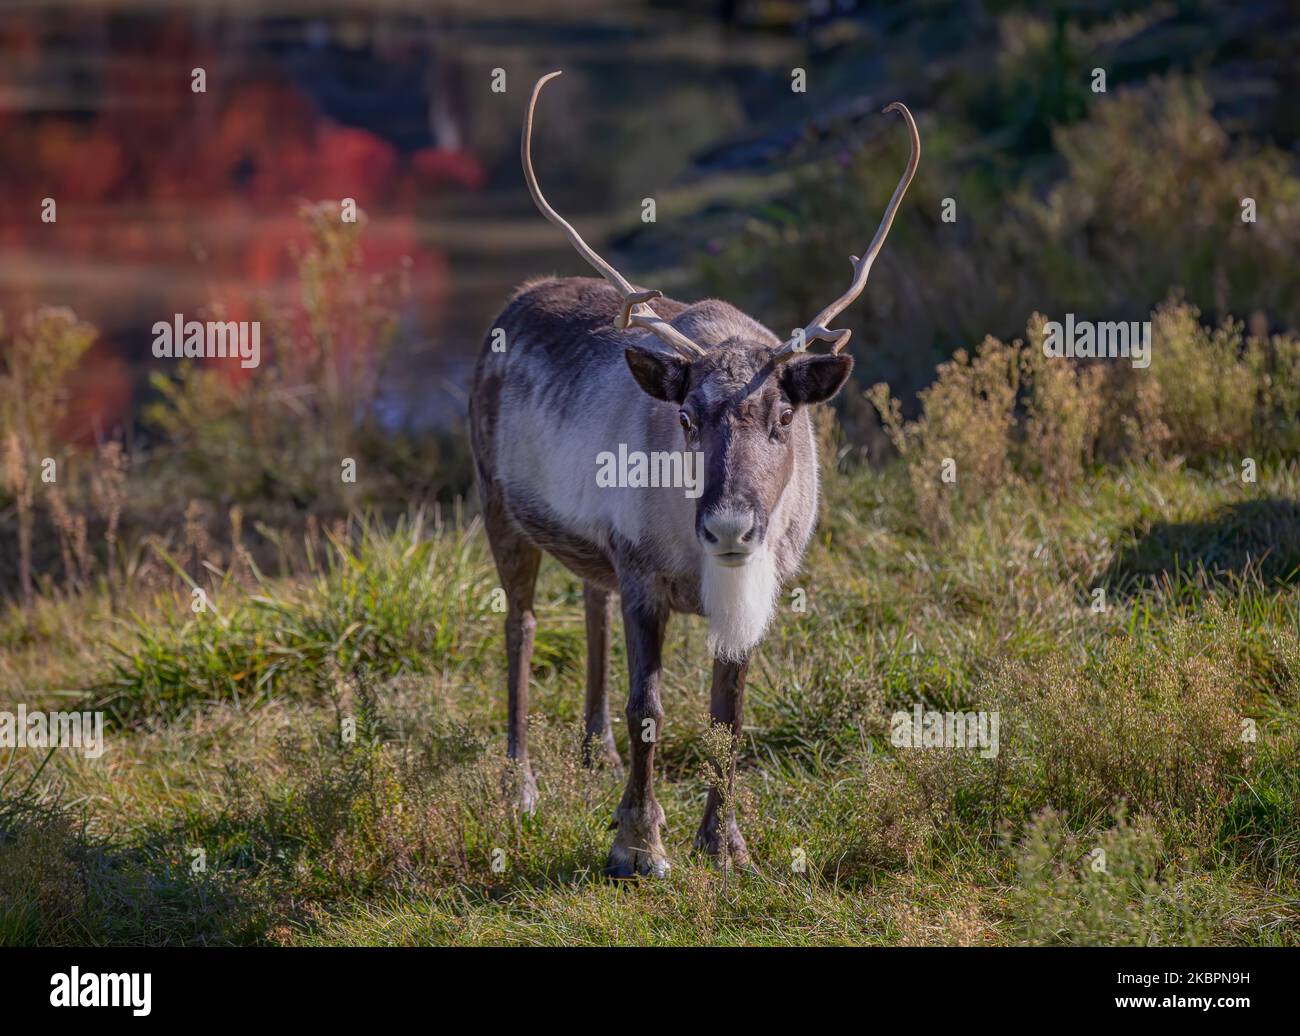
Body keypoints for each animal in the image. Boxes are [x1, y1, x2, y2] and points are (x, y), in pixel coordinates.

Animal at [469, 70, 919, 878]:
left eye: (784, 414)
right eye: (686, 416)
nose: (731, 525)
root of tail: (513, 301)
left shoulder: (751, 588)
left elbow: (727, 717)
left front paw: (724, 843)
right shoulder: (645, 576)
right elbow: (649, 709)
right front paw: (637, 845)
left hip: (592, 549)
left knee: (590, 600)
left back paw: (594, 750)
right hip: (499, 506)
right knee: (521, 625)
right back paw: (520, 786)